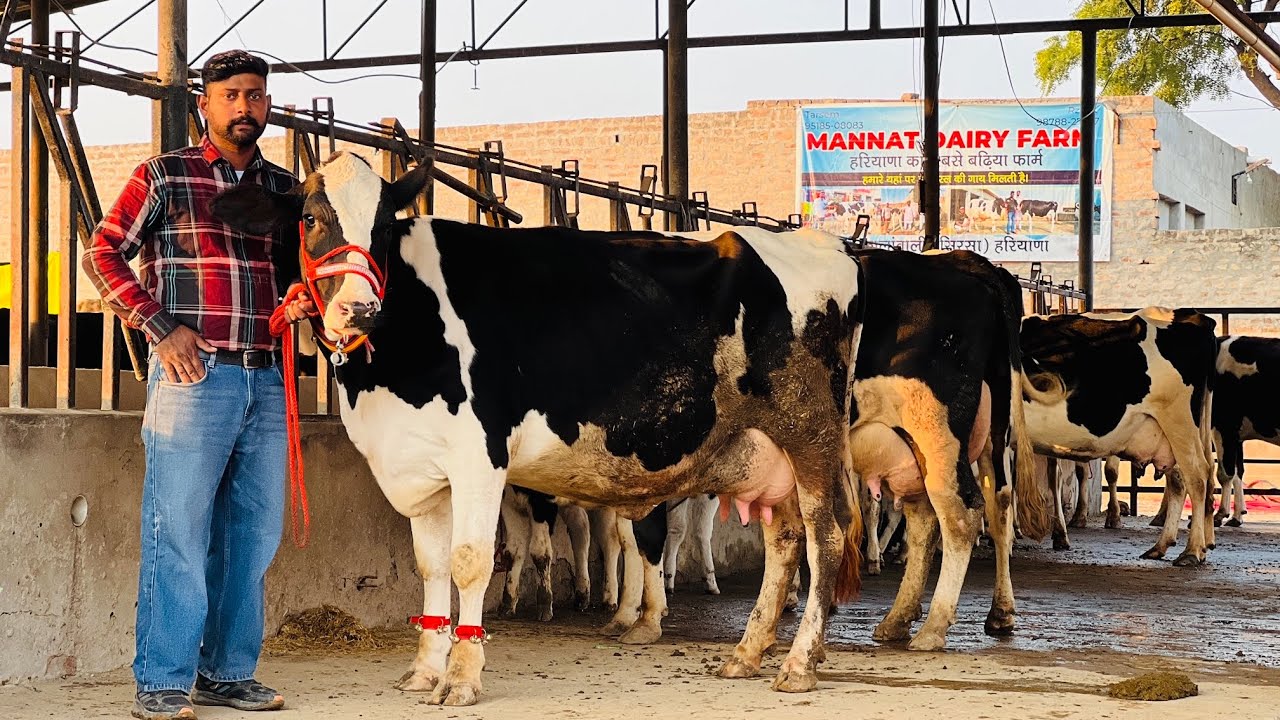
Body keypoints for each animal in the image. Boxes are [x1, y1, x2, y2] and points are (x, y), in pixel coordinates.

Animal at [212, 152, 866, 704]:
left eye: (382, 226)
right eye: (310, 219)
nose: (359, 308)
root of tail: (823, 246)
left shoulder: (479, 456)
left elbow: (470, 562)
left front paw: (461, 677)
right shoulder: (418, 464)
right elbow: (430, 565)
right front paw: (424, 668)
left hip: (810, 434)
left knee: (823, 537)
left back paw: (798, 664)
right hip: (763, 449)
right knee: (784, 542)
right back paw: (747, 654)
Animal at [842, 248, 1047, 650]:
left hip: (935, 432)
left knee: (959, 512)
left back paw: (932, 626)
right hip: (989, 429)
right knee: (994, 501)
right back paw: (994, 613)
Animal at [1020, 307, 1218, 566]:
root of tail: (1194, 316)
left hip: (1179, 422)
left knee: (1198, 476)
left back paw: (1192, 551)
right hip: (1172, 435)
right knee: (1179, 480)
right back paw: (1162, 546)